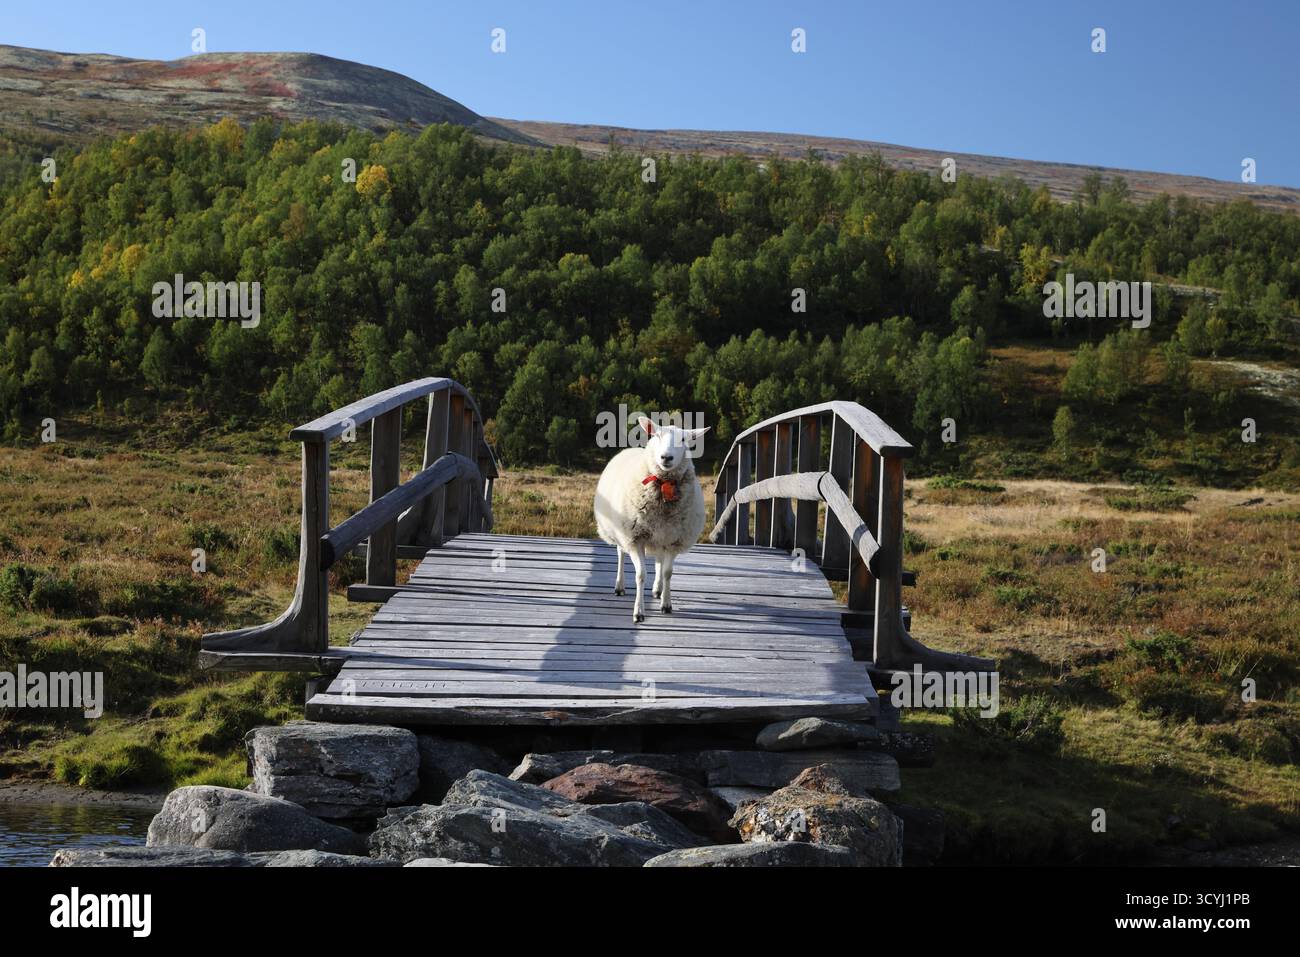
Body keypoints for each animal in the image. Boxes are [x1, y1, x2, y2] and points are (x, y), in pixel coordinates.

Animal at [594, 415, 709, 623]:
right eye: (656, 435)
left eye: (683, 440)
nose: (666, 457)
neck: (664, 486)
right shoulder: (634, 537)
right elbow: (640, 575)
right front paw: (638, 612)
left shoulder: (673, 539)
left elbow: (667, 572)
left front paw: (666, 604)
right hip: (620, 530)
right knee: (620, 553)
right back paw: (620, 586)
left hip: (660, 535)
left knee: (659, 562)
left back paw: (658, 589)